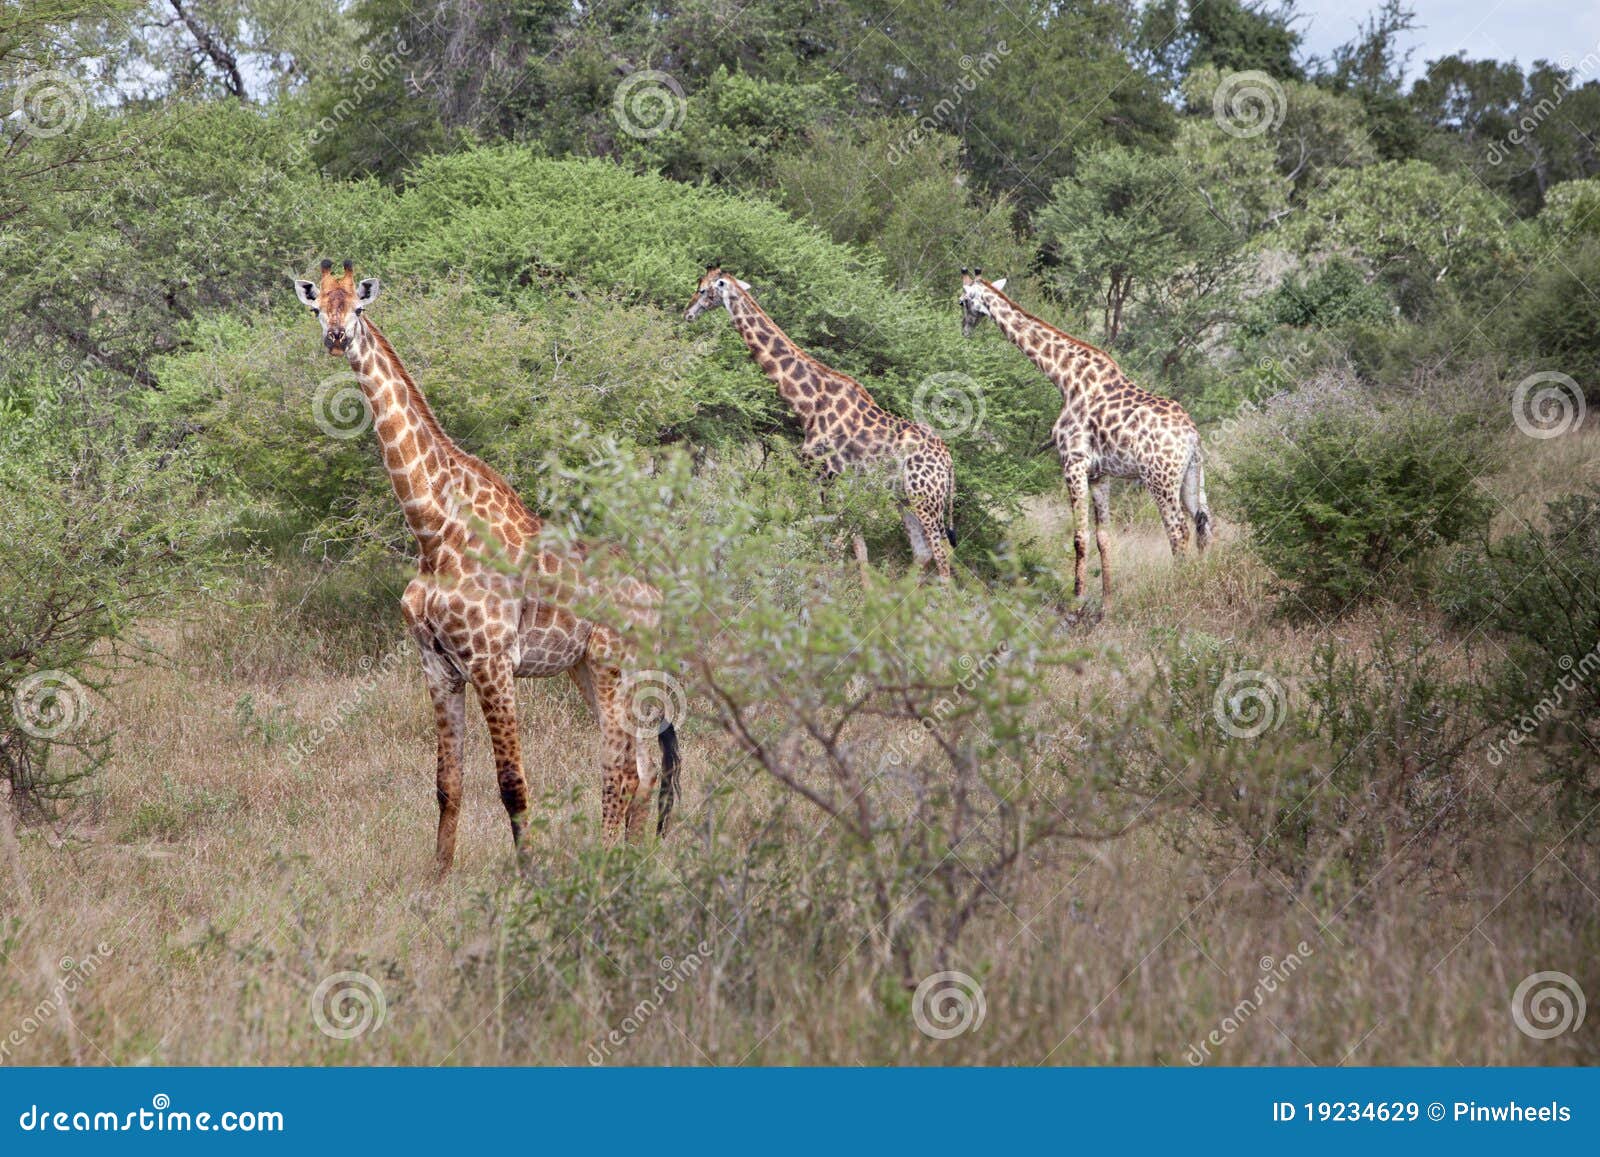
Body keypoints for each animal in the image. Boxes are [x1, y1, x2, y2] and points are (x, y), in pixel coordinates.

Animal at [291, 260, 681, 874]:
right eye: (316, 307)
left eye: (356, 306)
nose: (334, 338)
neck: (432, 529)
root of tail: (658, 591)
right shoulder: (436, 665)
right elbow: (447, 784)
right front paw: (438, 877)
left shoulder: (492, 662)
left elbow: (512, 783)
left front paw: (529, 875)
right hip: (590, 669)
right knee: (640, 772)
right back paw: (629, 864)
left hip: (613, 663)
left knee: (620, 770)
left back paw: (606, 865)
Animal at [684, 265, 956, 580]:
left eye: (703, 289)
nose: (687, 312)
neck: (810, 403)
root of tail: (949, 462)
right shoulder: (834, 481)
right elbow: (853, 545)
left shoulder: (826, 474)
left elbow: (833, 542)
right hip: (905, 498)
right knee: (923, 554)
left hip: (927, 499)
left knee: (943, 555)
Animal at [958, 270, 1210, 607]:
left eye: (962, 301)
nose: (964, 330)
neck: (1065, 378)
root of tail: (1192, 435)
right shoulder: (1099, 474)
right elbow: (1104, 538)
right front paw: (1106, 602)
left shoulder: (1073, 463)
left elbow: (1080, 537)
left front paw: (1077, 599)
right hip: (1193, 476)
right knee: (1203, 524)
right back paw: (1198, 582)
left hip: (1160, 479)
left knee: (1179, 530)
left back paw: (1177, 590)